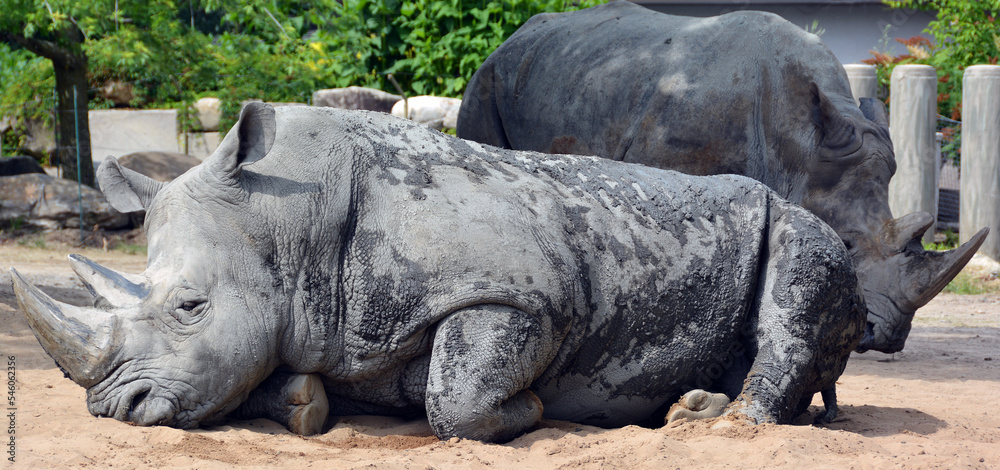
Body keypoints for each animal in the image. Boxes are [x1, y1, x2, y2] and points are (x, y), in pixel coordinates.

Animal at [12, 103, 864, 442]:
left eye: (191, 306)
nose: (115, 409)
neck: (287, 217)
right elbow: (272, 374)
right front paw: (304, 404)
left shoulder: (521, 296)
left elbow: (455, 400)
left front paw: (532, 413)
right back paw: (693, 409)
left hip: (805, 226)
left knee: (798, 271)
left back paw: (718, 423)